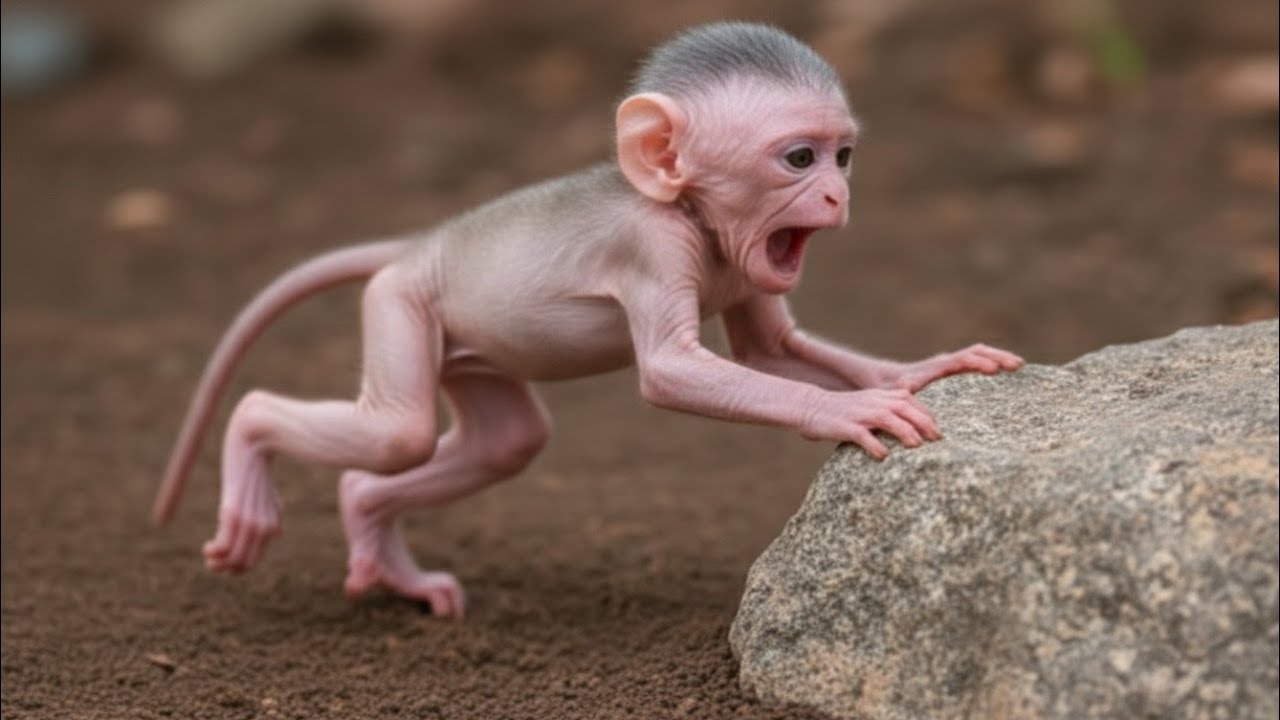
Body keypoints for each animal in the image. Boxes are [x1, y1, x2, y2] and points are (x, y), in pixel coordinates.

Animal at [151, 22, 1023, 619]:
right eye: (799, 159)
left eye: (844, 156)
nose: (839, 194)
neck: (695, 214)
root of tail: (421, 242)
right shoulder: (653, 244)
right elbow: (671, 370)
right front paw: (851, 409)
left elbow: (769, 349)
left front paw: (920, 370)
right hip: (397, 305)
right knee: (389, 430)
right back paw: (251, 448)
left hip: (466, 352)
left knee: (496, 443)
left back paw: (376, 539)